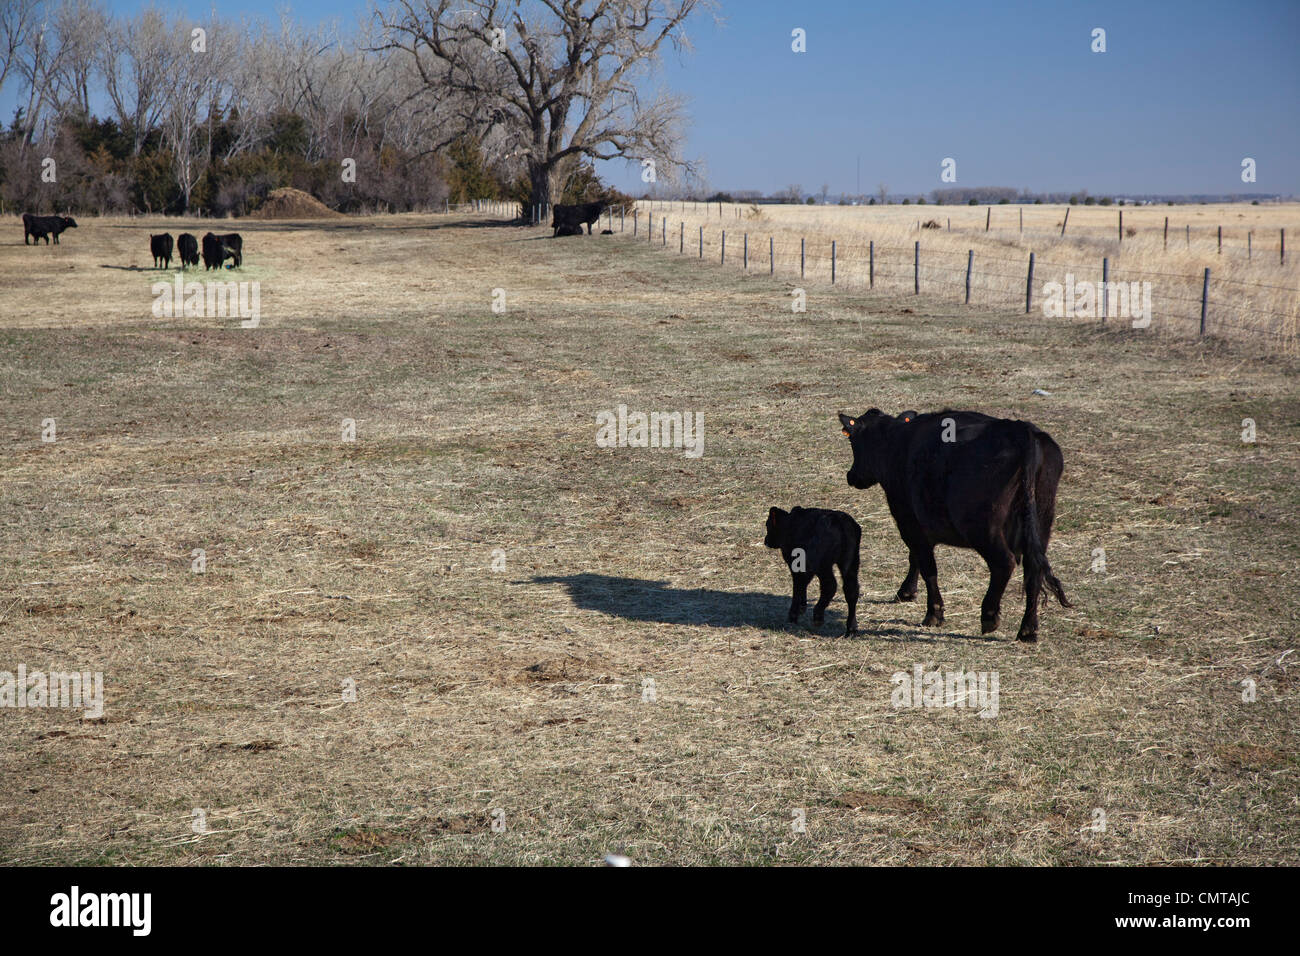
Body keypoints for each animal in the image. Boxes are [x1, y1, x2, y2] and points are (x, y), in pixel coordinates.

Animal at [765, 506, 860, 637]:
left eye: (768, 525)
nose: (766, 541)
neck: (790, 524)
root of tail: (840, 520)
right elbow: (804, 583)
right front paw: (802, 607)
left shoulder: (796, 563)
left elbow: (798, 586)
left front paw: (793, 615)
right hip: (851, 563)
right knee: (851, 589)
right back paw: (851, 628)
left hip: (823, 564)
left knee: (830, 585)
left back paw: (818, 616)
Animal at [838, 408, 1071, 642]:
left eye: (854, 442)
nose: (851, 476)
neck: (895, 443)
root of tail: (1020, 431)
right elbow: (917, 559)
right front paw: (907, 592)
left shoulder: (909, 522)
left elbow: (927, 567)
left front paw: (933, 613)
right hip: (1041, 522)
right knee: (1034, 571)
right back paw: (1028, 629)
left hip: (984, 530)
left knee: (1004, 563)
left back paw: (989, 616)